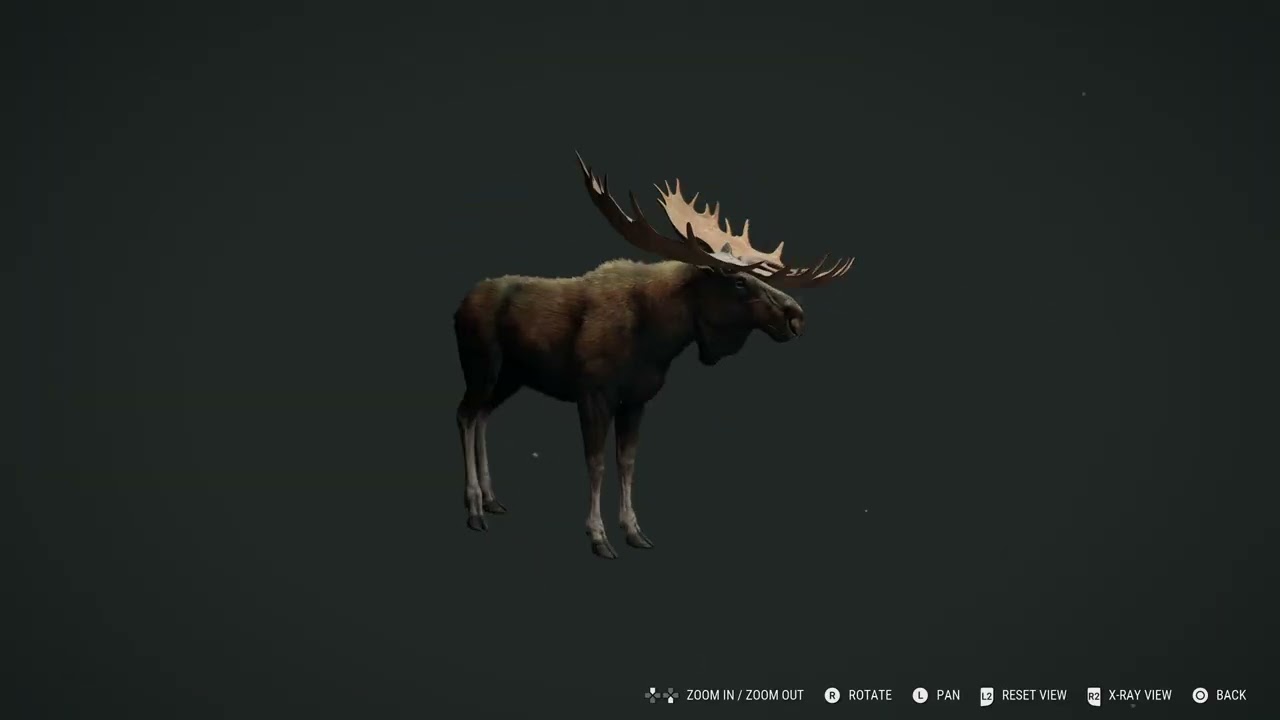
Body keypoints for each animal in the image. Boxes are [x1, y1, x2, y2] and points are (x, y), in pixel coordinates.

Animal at [452, 153, 854, 559]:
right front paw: (598, 536)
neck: (660, 339)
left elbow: (627, 462)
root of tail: (459, 306)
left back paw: (491, 499)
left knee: (483, 416)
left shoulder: (636, 399)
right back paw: (474, 509)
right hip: (482, 367)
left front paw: (633, 530)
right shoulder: (593, 394)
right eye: (739, 281)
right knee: (466, 415)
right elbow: (596, 463)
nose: (796, 316)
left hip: (511, 377)